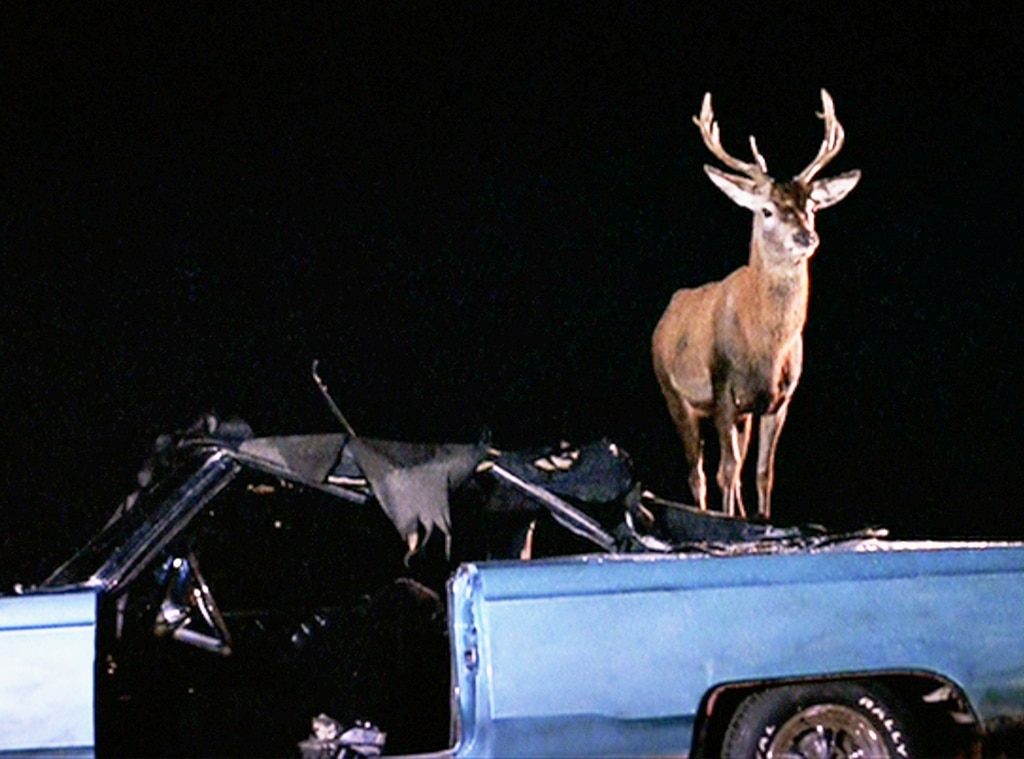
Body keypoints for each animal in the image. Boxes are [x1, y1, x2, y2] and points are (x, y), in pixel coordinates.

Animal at [652, 89, 860, 520]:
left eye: (811, 206)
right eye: (766, 210)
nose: (806, 237)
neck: (764, 347)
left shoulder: (779, 398)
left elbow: (764, 471)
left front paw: (763, 519)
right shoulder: (722, 386)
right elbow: (727, 469)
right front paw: (730, 522)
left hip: (739, 413)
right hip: (673, 392)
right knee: (698, 473)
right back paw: (705, 512)